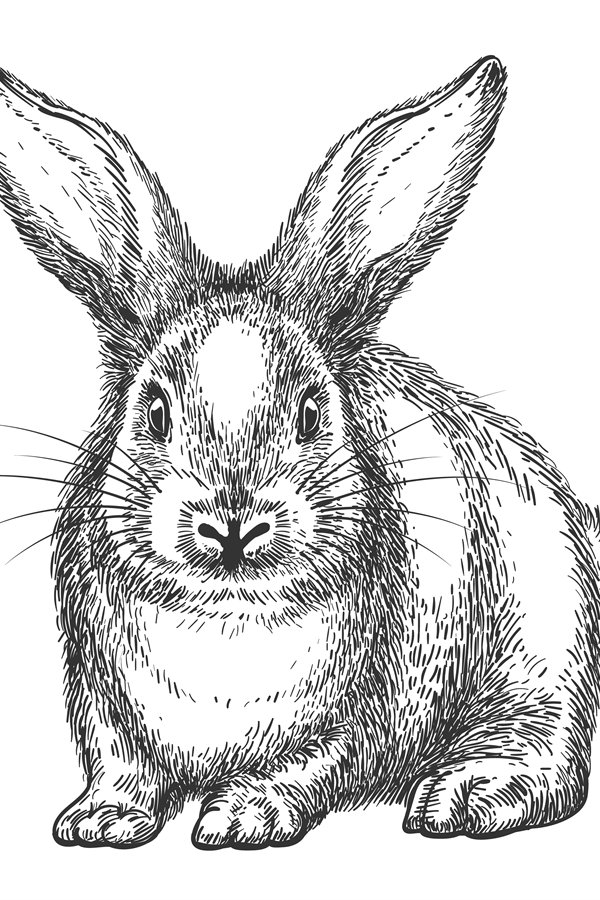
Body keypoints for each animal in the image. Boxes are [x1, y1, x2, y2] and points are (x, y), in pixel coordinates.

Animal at [0, 54, 598, 851]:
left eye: (314, 411)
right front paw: (100, 821)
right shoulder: (104, 702)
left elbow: (309, 765)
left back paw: (464, 797)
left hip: (549, 642)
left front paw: (240, 817)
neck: (225, 619)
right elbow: (120, 765)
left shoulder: (361, 715)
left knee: (550, 749)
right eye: (153, 410)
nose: (232, 525)